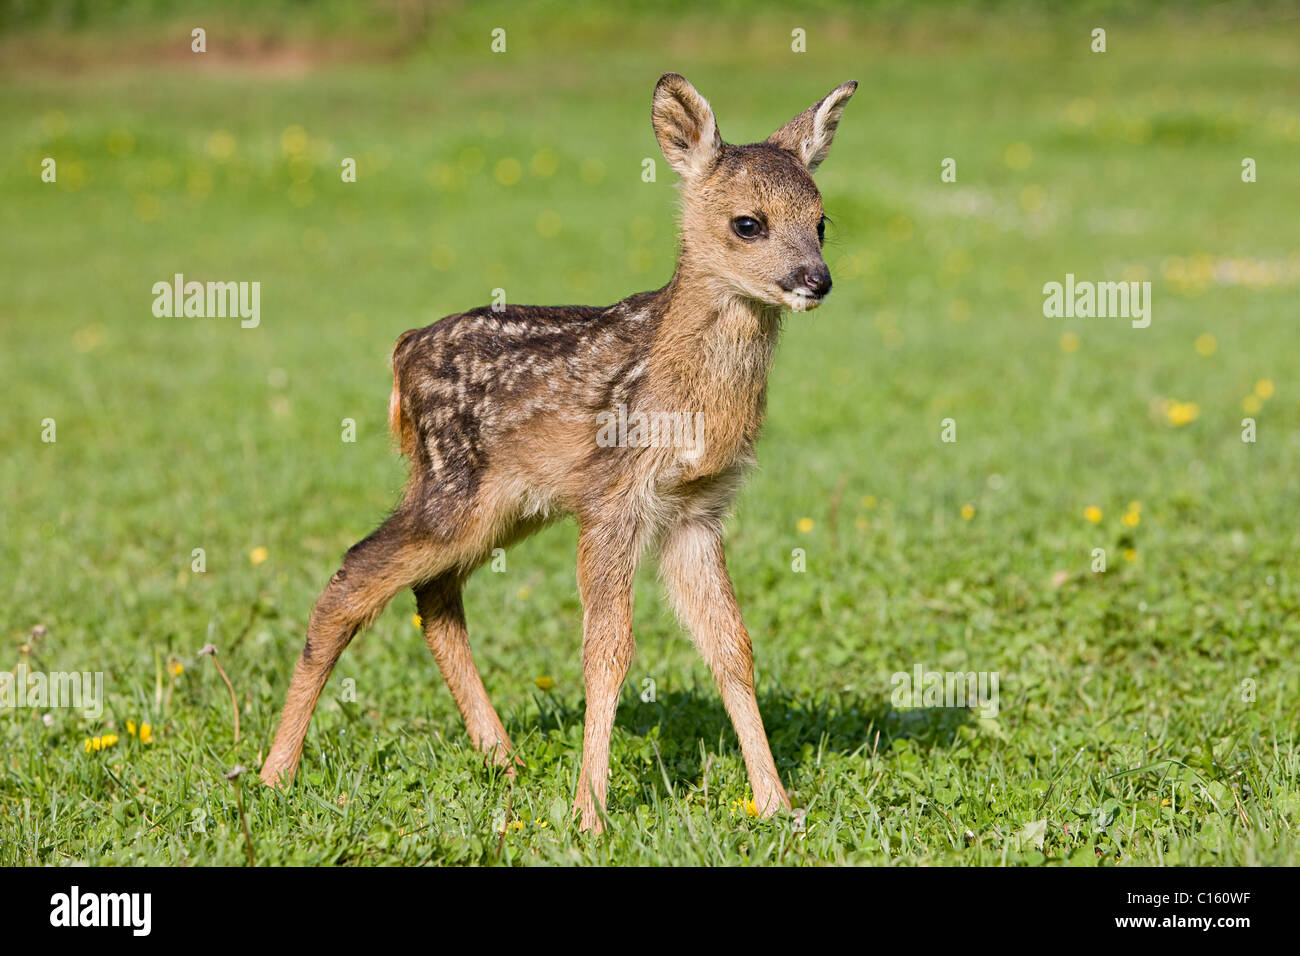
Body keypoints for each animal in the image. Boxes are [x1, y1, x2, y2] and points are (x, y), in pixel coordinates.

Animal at [259, 73, 857, 833]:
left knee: (433, 593)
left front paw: (777, 805)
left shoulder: (696, 509)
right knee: (351, 578)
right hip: (454, 485)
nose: (816, 279)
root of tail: (400, 352)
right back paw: (274, 773)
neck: (687, 392)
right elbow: (608, 652)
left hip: (508, 505)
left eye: (821, 221)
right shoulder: (612, 498)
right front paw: (589, 815)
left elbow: (732, 647)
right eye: (747, 223)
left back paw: (503, 759)